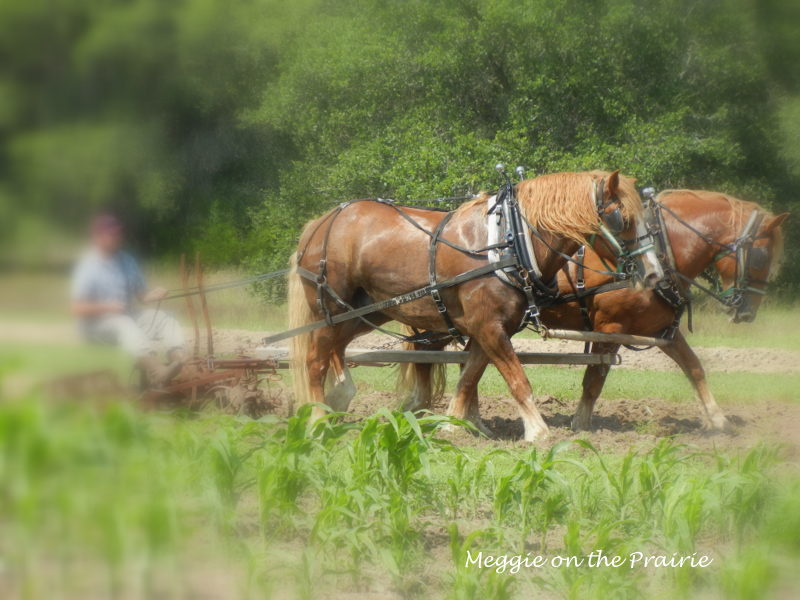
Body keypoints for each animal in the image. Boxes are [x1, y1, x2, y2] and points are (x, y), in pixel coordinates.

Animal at [287, 170, 662, 442]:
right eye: (622, 219)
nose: (654, 273)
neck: (511, 242)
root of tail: (320, 223)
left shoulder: (492, 329)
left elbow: (468, 379)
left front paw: (453, 426)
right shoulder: (488, 327)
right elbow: (517, 380)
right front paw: (538, 432)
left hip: (365, 311)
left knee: (336, 348)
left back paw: (338, 400)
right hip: (328, 310)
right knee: (315, 361)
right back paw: (318, 421)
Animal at [402, 189, 788, 435]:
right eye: (760, 256)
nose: (747, 313)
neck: (660, 253)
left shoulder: (664, 331)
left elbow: (694, 367)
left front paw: (718, 420)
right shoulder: (610, 327)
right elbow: (594, 380)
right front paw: (581, 424)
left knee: (468, 362)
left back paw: (468, 419)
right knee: (430, 354)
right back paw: (426, 409)